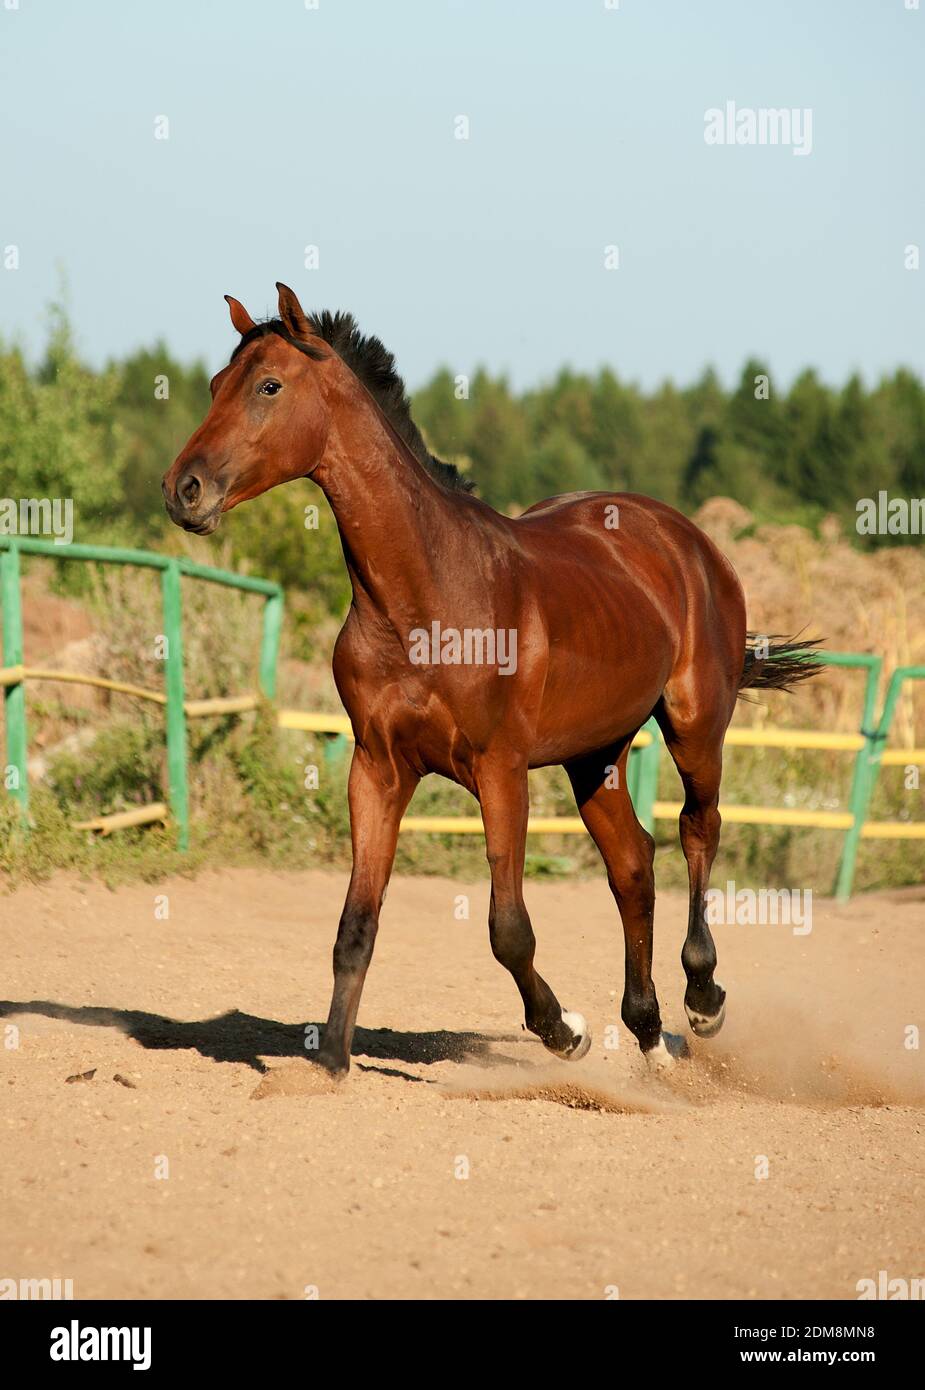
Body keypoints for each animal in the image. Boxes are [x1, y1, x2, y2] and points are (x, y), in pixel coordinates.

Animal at [163, 283, 820, 1077]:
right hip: (593, 753)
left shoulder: (500, 769)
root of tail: (688, 541)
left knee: (698, 828)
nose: (183, 490)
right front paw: (329, 1067)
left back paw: (700, 1001)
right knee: (633, 863)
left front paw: (565, 1031)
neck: (427, 595)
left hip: (694, 724)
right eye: (212, 386)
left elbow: (508, 927)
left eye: (268, 386)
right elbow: (356, 924)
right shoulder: (377, 768)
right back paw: (648, 1032)